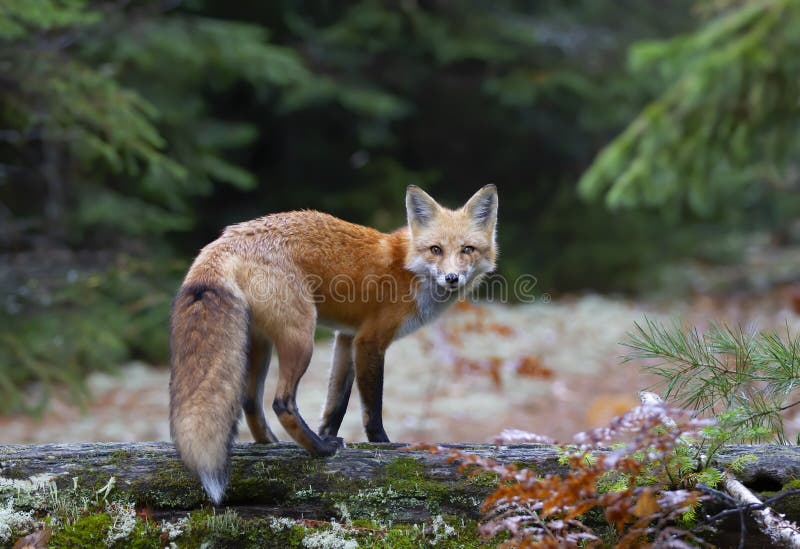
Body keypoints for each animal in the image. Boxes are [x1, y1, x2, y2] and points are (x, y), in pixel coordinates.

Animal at [169, 184, 498, 504]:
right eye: (436, 250)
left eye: (467, 250)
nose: (452, 278)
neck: (408, 268)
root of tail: (224, 240)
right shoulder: (369, 341)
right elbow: (371, 410)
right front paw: (383, 446)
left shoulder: (346, 338)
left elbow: (335, 405)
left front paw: (327, 433)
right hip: (302, 337)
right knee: (281, 402)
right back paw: (320, 450)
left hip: (260, 345)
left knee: (250, 402)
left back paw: (276, 444)